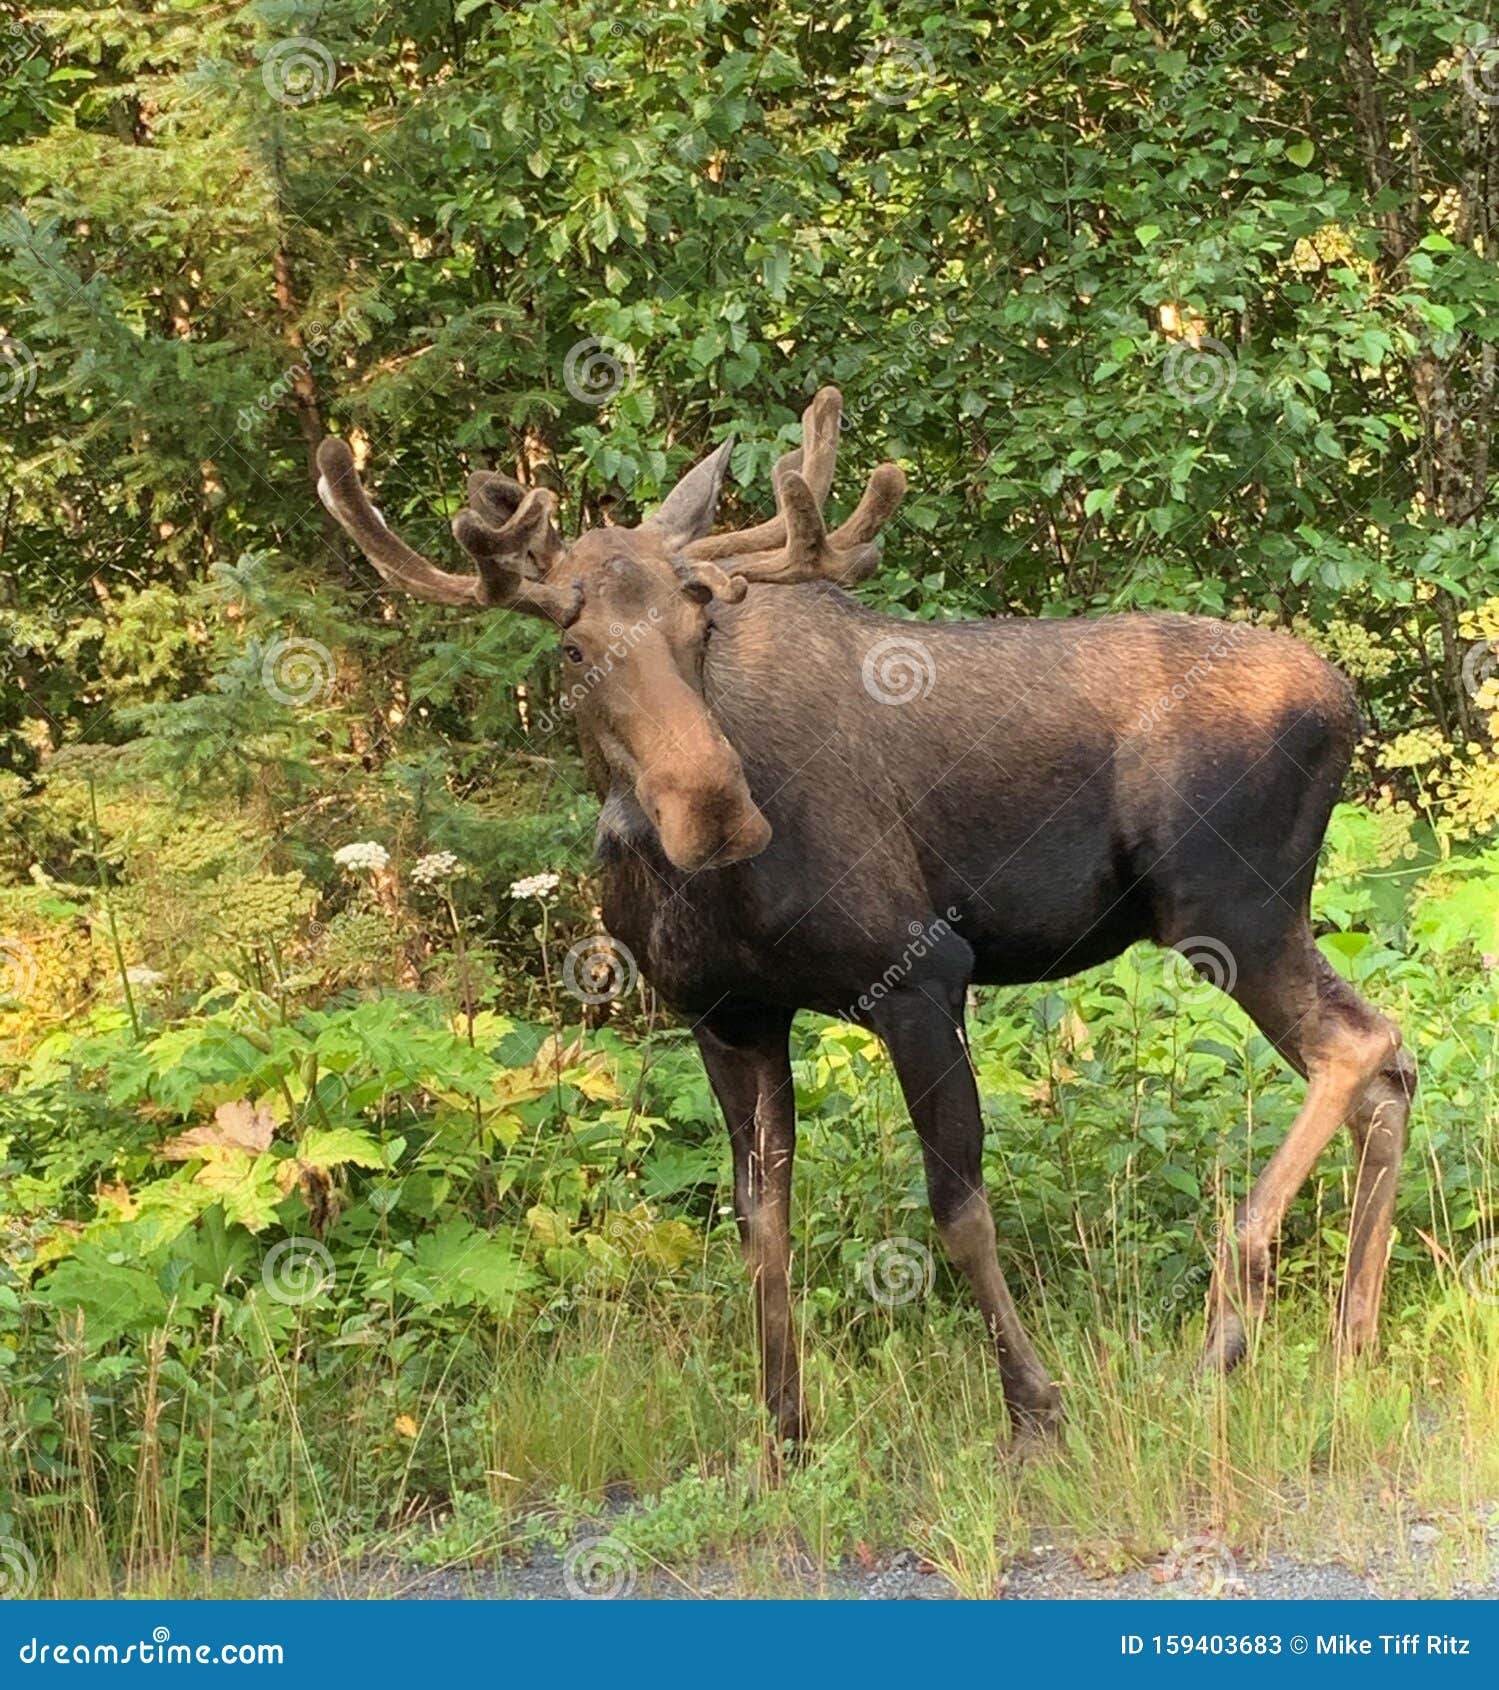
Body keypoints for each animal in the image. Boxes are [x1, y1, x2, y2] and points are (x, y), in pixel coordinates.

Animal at [316, 387, 1416, 1455]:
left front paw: (1033, 1412)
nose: (714, 806)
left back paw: (1231, 1317)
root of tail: (1347, 701)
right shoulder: (727, 1015)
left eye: (699, 629)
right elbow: (760, 1226)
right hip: (1248, 917)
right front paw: (782, 1436)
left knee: (1358, 1045)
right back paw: (1349, 1345)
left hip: (1224, 906)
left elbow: (956, 1209)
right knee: (1386, 1063)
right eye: (573, 646)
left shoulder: (921, 972)